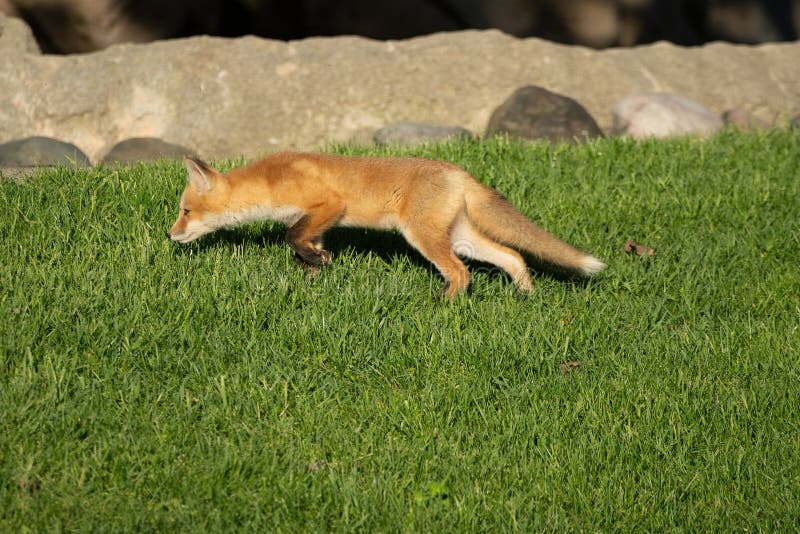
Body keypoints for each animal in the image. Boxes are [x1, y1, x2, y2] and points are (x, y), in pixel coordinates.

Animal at [167, 152, 606, 299]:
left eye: (185, 211)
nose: (170, 234)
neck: (270, 181)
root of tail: (458, 172)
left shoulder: (329, 204)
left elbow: (291, 238)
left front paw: (319, 264)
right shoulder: (317, 223)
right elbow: (303, 248)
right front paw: (316, 271)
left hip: (425, 237)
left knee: (460, 273)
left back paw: (443, 306)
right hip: (460, 236)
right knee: (512, 254)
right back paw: (526, 296)